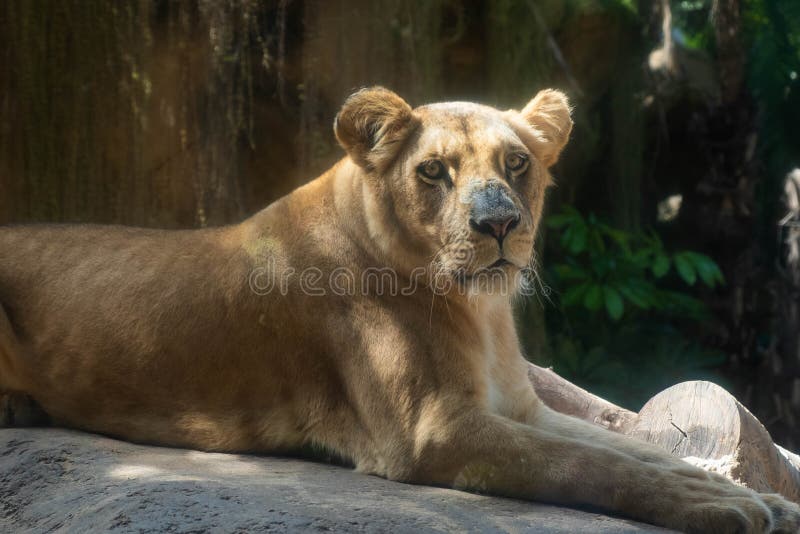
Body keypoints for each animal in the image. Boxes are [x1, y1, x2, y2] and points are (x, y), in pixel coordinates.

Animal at [1, 87, 798, 532]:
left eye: (517, 163)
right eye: (434, 171)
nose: (498, 225)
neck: (482, 314)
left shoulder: (522, 408)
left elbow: (629, 446)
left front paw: (765, 499)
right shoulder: (430, 432)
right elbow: (586, 464)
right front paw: (714, 505)